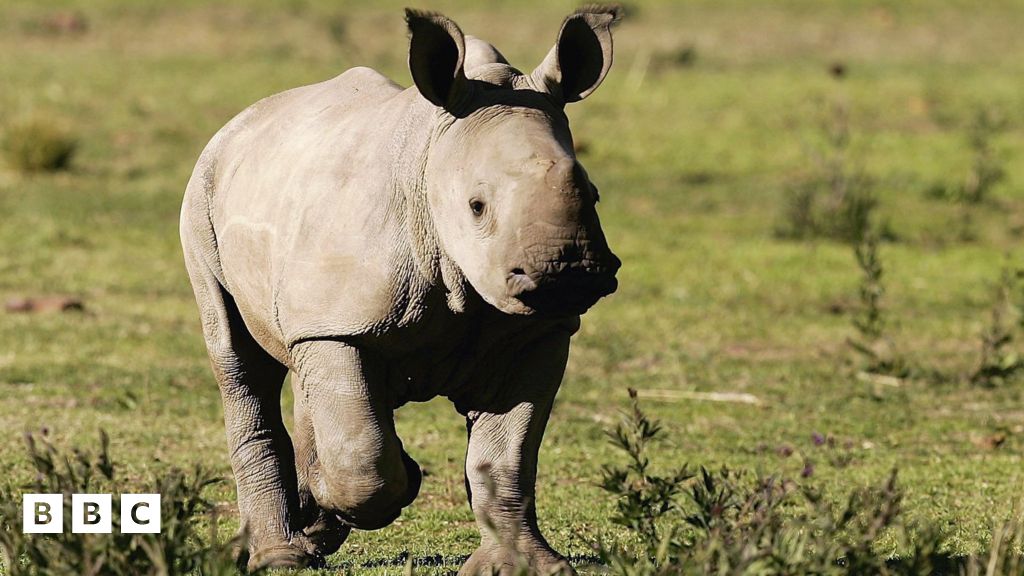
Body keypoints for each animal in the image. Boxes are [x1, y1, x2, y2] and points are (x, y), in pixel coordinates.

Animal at [180, 6, 622, 574]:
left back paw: (311, 523)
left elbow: (508, 455)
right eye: (477, 206)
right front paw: (379, 484)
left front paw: (525, 565)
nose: (571, 272)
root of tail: (240, 122)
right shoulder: (339, 326)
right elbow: (361, 459)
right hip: (202, 198)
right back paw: (284, 555)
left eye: (594, 194)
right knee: (240, 363)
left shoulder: (538, 331)